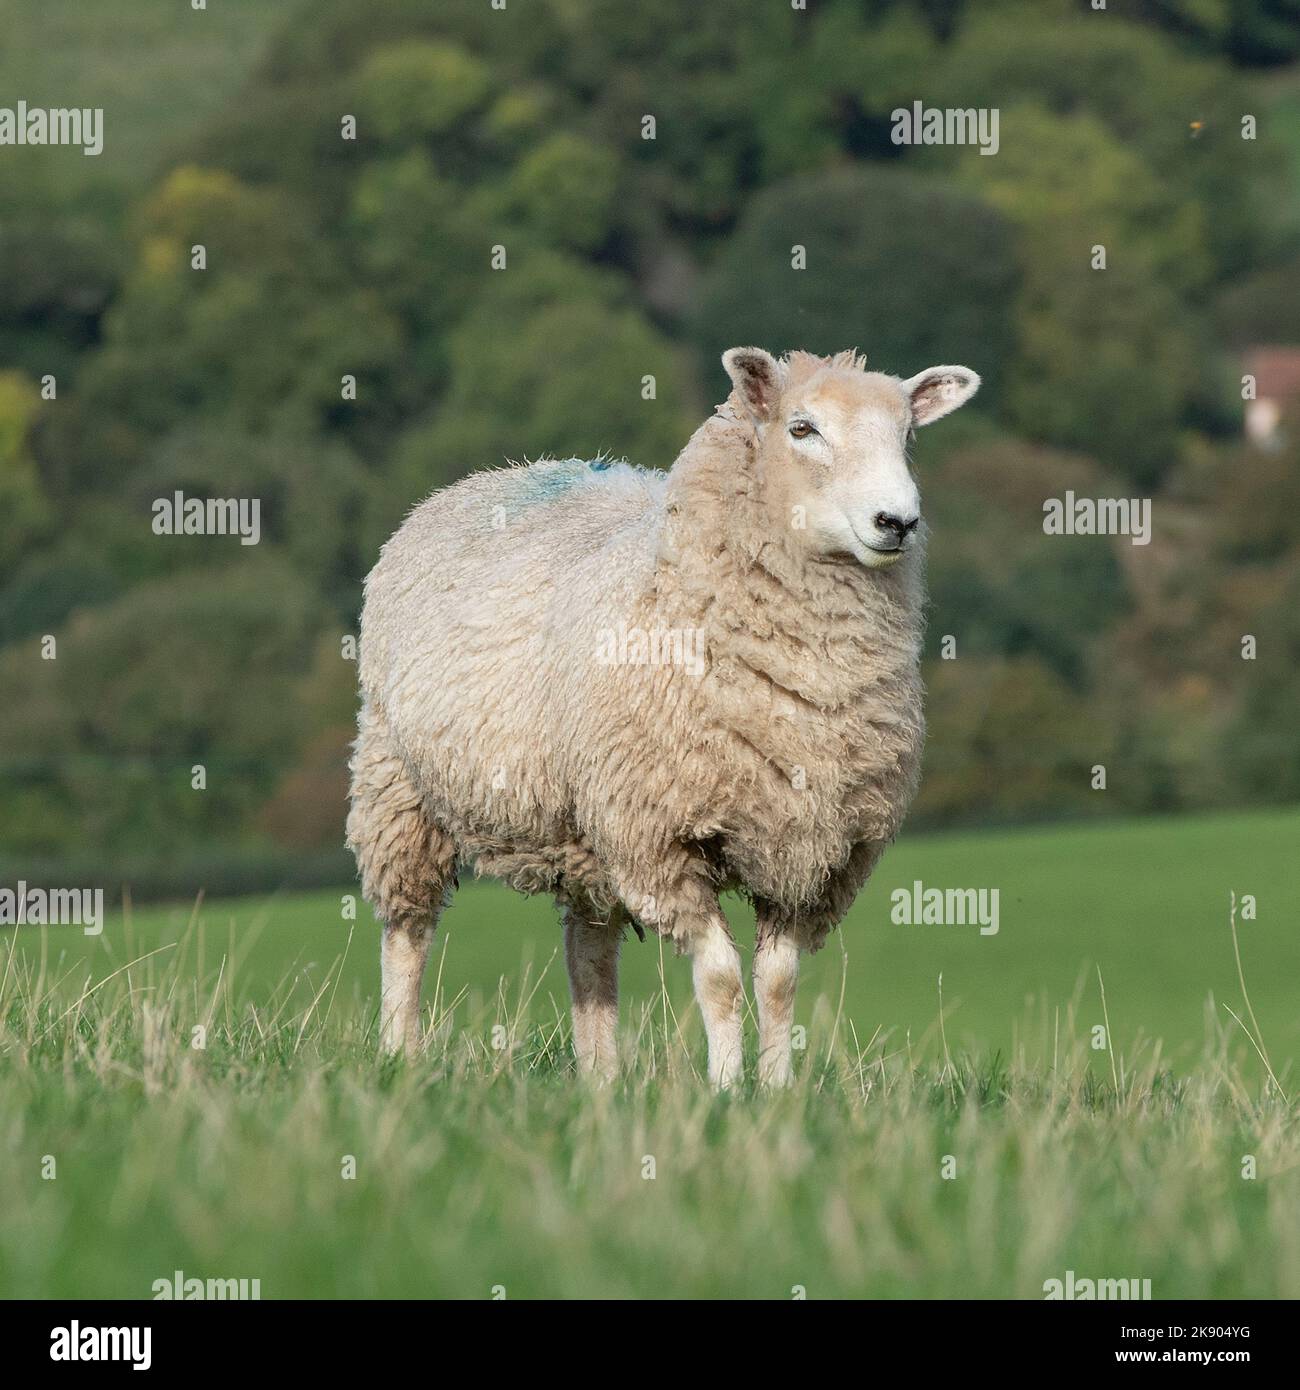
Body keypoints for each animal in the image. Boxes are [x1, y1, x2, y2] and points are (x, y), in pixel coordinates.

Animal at [347, 347, 979, 1087]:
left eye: (907, 435)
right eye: (802, 428)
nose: (896, 522)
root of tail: (498, 473)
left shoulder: (812, 851)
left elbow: (778, 983)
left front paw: (779, 1090)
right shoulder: (658, 838)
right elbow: (721, 980)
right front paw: (728, 1088)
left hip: (585, 827)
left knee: (589, 947)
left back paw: (599, 1077)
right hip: (399, 784)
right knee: (407, 931)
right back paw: (401, 1055)